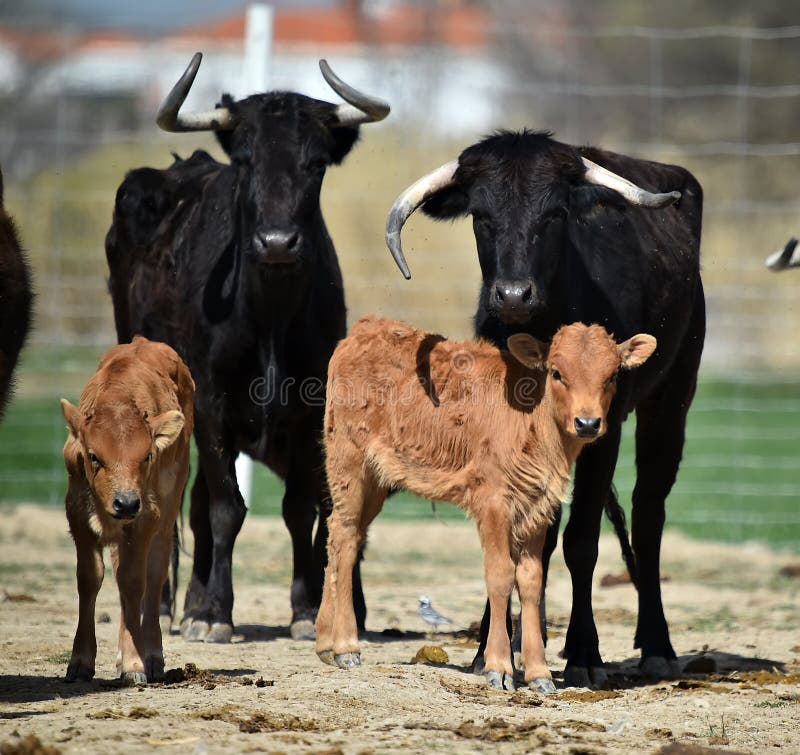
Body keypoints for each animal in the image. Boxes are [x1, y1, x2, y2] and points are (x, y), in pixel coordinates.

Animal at [61, 336, 194, 684]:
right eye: (93, 455)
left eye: (147, 456)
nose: (126, 503)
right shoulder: (77, 515)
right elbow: (89, 578)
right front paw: (80, 661)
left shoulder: (145, 518)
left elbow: (135, 581)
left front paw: (136, 664)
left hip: (166, 514)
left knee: (155, 573)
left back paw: (151, 655)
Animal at [105, 53, 389, 643]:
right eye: (245, 161)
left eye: (316, 163)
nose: (277, 243)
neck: (270, 315)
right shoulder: (213, 407)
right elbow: (226, 509)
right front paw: (215, 614)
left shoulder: (309, 409)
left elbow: (298, 507)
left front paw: (303, 610)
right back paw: (165, 606)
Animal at [316, 316, 656, 691]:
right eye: (556, 372)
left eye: (612, 375)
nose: (587, 423)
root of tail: (366, 327)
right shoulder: (492, 502)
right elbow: (500, 574)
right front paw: (498, 667)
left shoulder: (538, 506)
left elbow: (532, 580)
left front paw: (539, 673)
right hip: (349, 462)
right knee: (346, 537)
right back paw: (346, 646)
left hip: (377, 479)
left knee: (341, 538)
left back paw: (324, 642)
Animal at [383, 129, 705, 687]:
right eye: (480, 214)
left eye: (554, 214)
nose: (513, 295)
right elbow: (516, 542)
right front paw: (490, 653)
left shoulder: (604, 430)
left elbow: (581, 540)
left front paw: (585, 654)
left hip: (671, 401)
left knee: (647, 517)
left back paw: (657, 646)